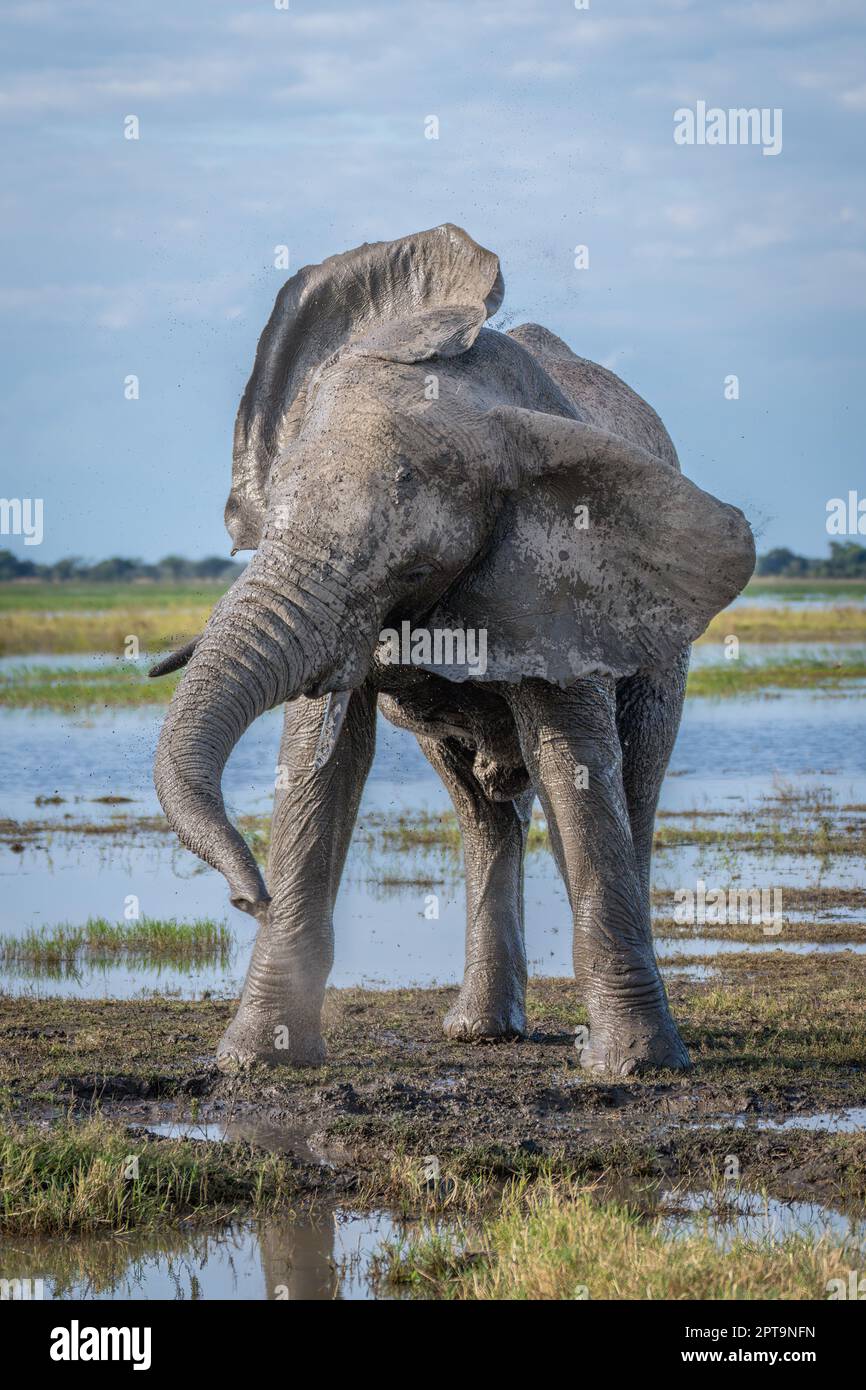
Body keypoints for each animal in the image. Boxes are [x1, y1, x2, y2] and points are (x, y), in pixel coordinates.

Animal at [151, 224, 755, 1078]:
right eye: (279, 499)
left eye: (410, 565)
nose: (247, 897)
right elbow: (320, 762)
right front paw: (257, 1061)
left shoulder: (567, 583)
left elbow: (573, 759)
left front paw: (635, 1068)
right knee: (479, 809)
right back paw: (481, 1031)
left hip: (662, 644)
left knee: (634, 779)